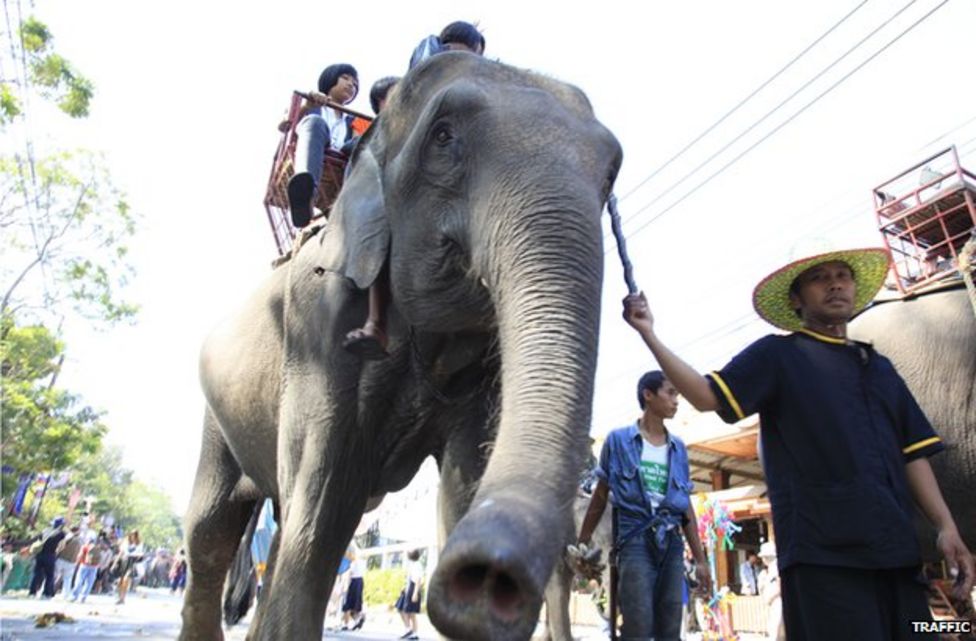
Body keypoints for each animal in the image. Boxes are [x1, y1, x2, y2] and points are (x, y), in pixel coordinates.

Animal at [179, 52, 621, 641]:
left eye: (611, 174)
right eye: (443, 136)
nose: (488, 580)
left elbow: (461, 491)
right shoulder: (321, 333)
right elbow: (324, 514)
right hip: (216, 420)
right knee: (211, 535)